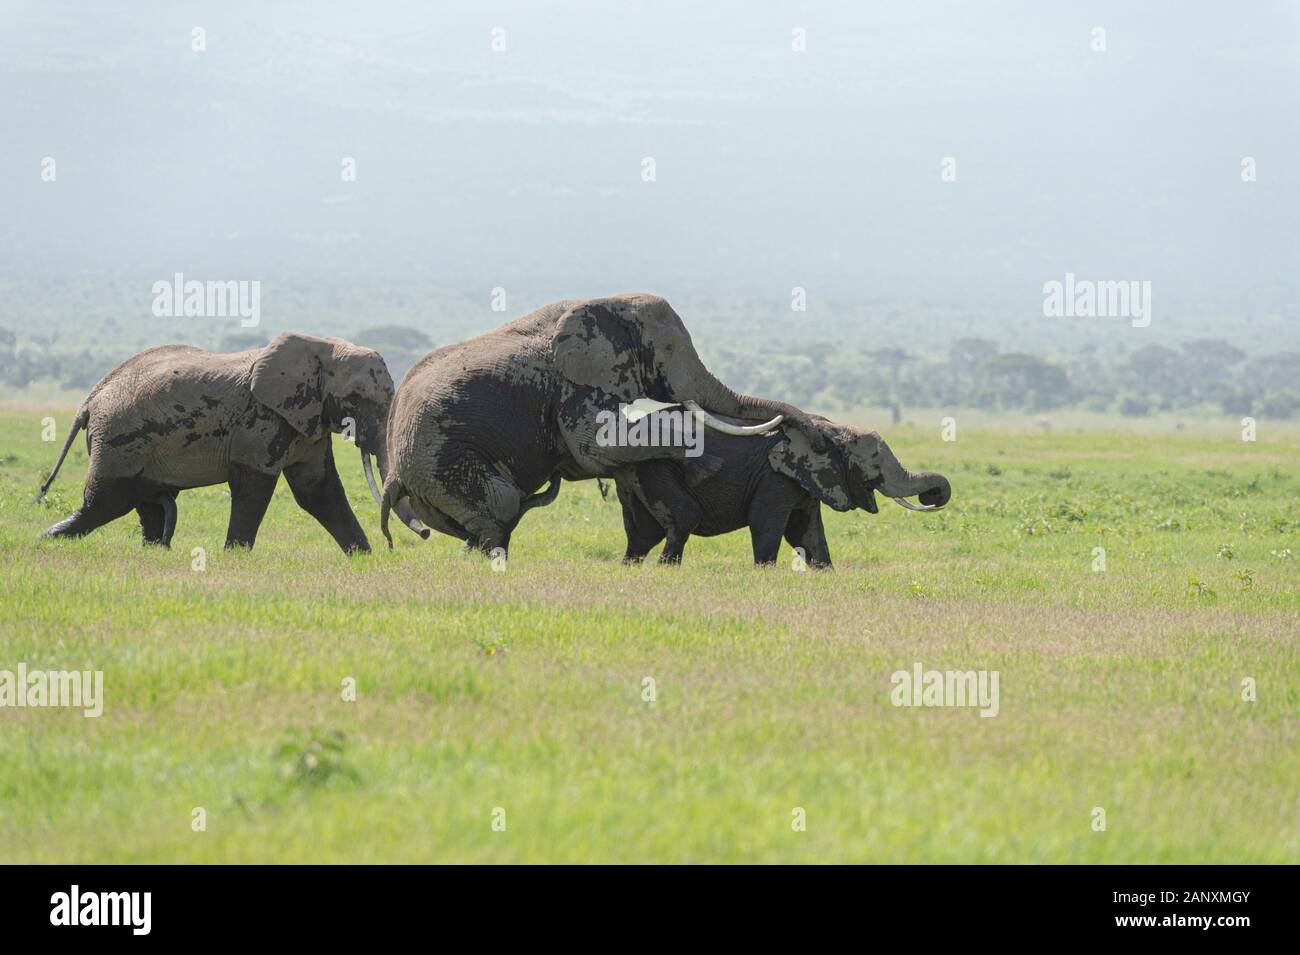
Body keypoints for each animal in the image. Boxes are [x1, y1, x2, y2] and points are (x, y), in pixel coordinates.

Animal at [38, 332, 428, 553]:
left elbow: (319, 491)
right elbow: (255, 487)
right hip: (118, 443)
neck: (323, 348)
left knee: (145, 503)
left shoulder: (307, 418)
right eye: (358, 398)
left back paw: (153, 551)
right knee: (104, 502)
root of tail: (89, 400)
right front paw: (235, 556)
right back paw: (47, 540)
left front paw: (362, 557)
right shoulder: (263, 419)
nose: (422, 535)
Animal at [380, 293, 827, 555]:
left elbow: (593, 454)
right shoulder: (572, 381)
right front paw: (703, 466)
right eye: (668, 349)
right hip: (439, 458)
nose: (815, 432)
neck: (610, 302)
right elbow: (593, 446)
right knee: (502, 502)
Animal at [613, 413, 951, 566]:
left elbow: (808, 532)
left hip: (639, 475)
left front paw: (826, 573)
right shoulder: (775, 477)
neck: (833, 430)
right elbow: (768, 523)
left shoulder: (807, 480)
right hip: (659, 467)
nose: (932, 496)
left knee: (643, 532)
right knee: (683, 518)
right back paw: (666, 569)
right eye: (875, 463)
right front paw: (764, 572)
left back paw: (631, 568)